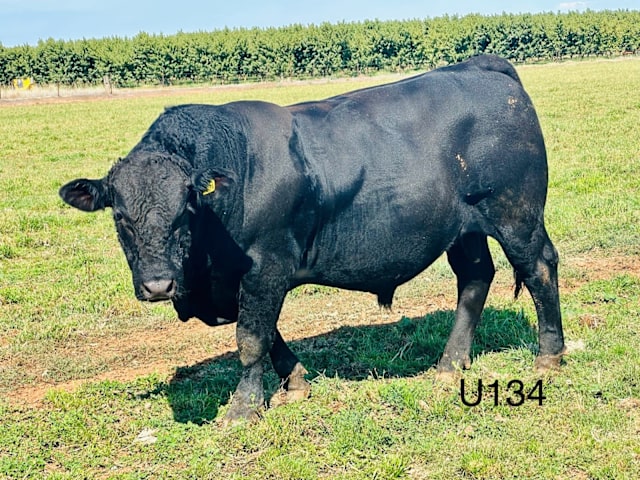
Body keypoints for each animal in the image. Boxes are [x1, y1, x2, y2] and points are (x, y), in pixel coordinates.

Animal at [59, 55, 565, 423]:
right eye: (120, 217)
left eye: (185, 210)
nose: (158, 285)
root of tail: (481, 67)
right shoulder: (244, 279)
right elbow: (268, 335)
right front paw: (296, 381)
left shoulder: (264, 265)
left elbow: (250, 339)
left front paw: (242, 410)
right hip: (463, 228)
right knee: (475, 278)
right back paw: (451, 363)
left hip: (516, 214)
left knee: (539, 269)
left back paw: (549, 357)